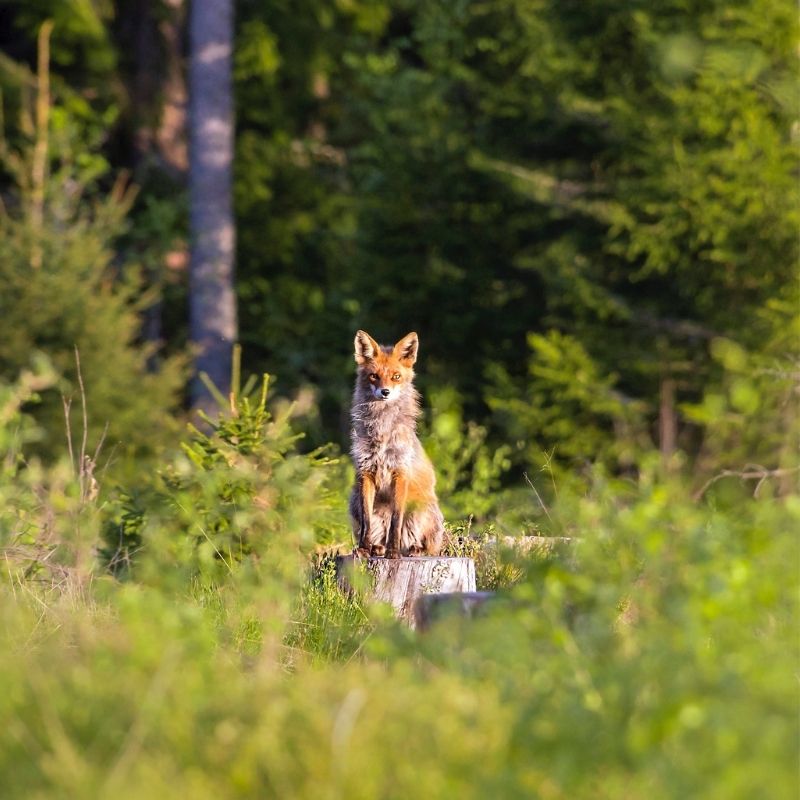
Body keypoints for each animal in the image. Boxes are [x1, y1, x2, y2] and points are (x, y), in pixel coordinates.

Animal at [349, 330, 445, 559]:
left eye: (396, 376)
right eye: (374, 376)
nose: (385, 392)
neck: (382, 432)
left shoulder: (400, 472)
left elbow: (396, 520)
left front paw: (393, 553)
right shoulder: (366, 472)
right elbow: (366, 521)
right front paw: (363, 549)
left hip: (422, 509)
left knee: (428, 546)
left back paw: (413, 549)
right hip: (354, 500)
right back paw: (377, 548)